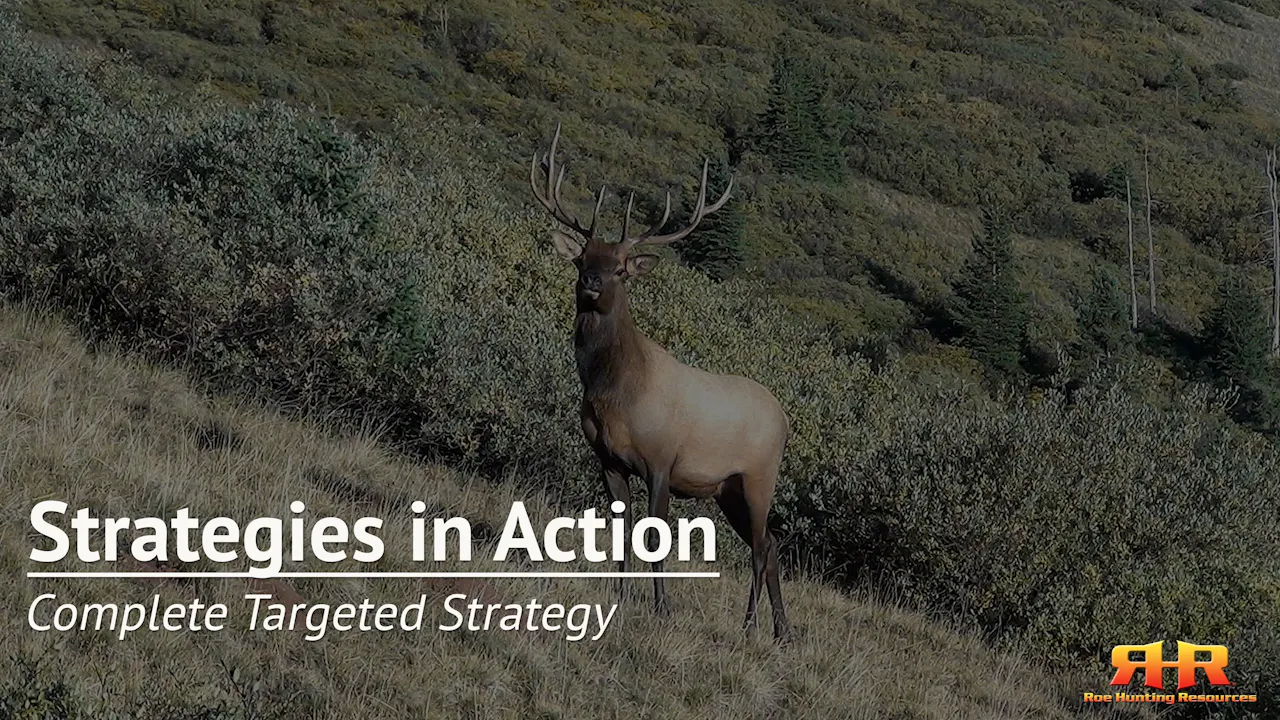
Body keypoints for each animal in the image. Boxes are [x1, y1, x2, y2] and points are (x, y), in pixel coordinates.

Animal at [529, 124, 790, 640]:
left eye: (620, 269)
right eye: (583, 258)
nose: (591, 281)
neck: (614, 393)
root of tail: (787, 418)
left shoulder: (661, 460)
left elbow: (655, 534)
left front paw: (662, 606)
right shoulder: (608, 459)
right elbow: (621, 529)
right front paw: (621, 594)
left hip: (759, 477)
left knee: (759, 547)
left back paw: (749, 625)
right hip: (727, 490)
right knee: (770, 543)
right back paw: (781, 631)